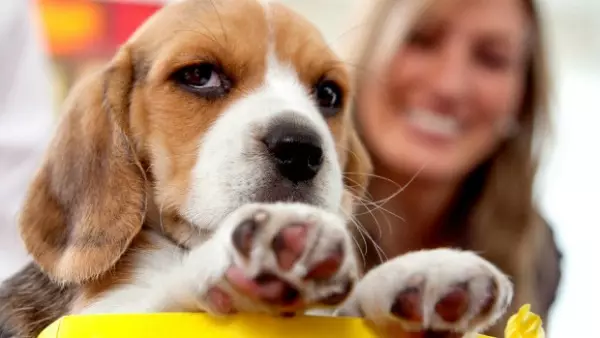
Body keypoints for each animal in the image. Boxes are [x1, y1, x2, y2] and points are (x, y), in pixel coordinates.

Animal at [1, 0, 510, 336]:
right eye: (198, 75)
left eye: (329, 94)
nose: (301, 148)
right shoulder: (103, 313)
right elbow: (168, 288)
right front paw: (264, 249)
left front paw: (423, 277)